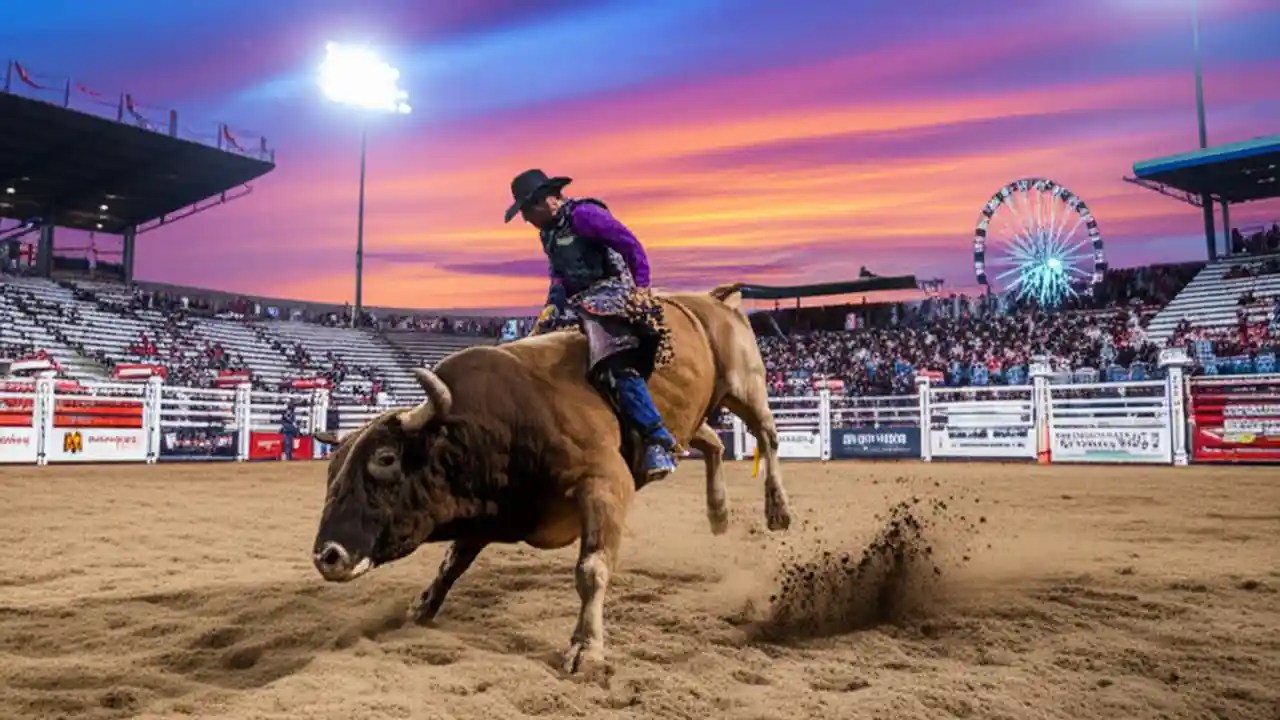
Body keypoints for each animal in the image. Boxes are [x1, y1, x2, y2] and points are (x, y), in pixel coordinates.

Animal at [310, 283, 790, 673]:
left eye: (386, 459)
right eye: (332, 470)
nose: (327, 555)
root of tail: (712, 298)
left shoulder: (606, 482)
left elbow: (592, 569)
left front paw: (586, 649)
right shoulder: (489, 514)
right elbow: (452, 562)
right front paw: (423, 605)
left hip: (745, 384)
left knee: (767, 436)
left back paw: (777, 510)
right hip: (689, 420)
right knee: (711, 442)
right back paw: (718, 513)